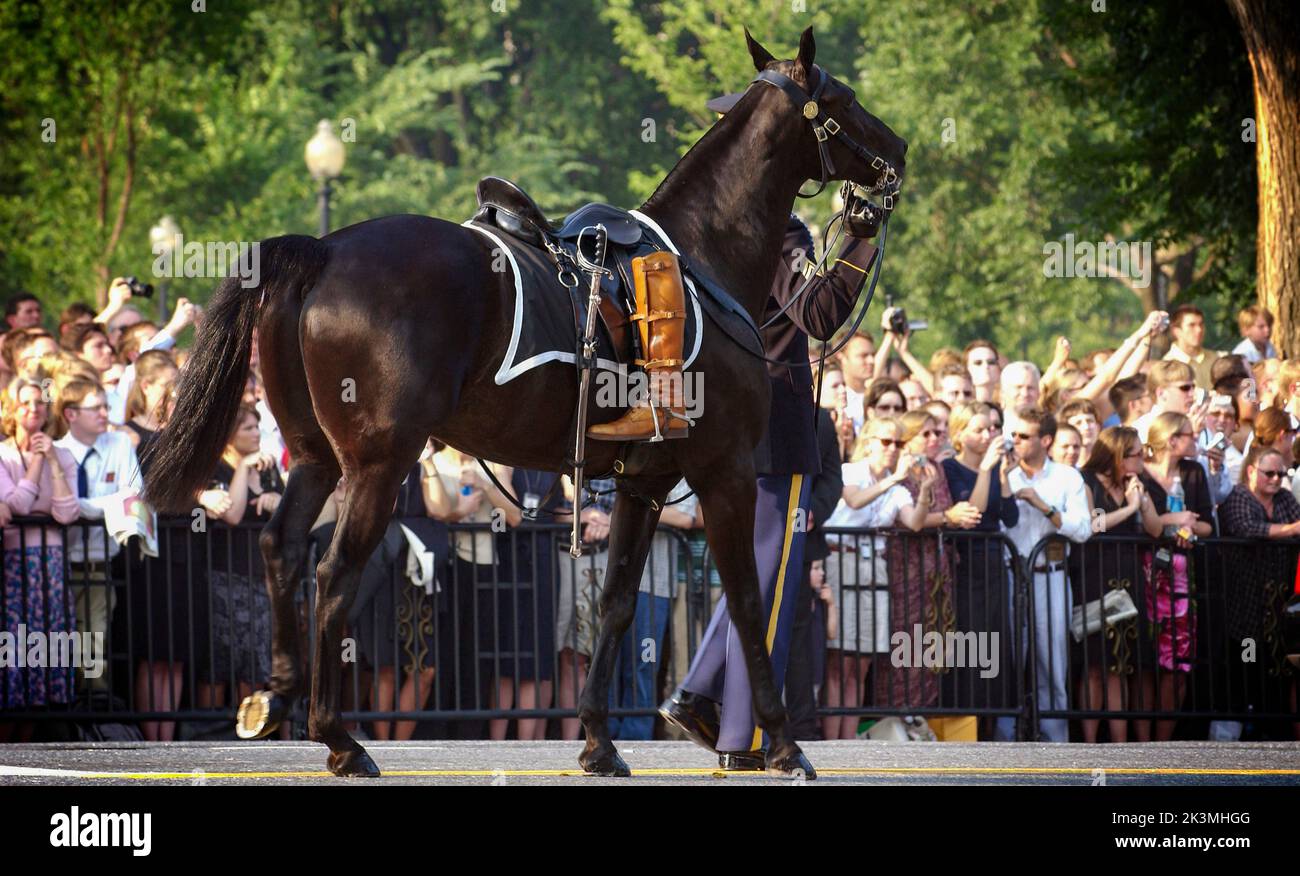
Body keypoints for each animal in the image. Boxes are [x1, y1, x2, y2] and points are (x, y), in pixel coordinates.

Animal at [142, 26, 906, 778]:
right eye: (843, 97)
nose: (897, 152)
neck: (703, 258)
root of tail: (323, 252)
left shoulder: (645, 483)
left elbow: (617, 601)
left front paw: (598, 740)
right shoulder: (726, 471)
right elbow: (748, 601)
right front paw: (783, 743)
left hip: (316, 458)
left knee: (281, 547)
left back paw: (276, 694)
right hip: (380, 464)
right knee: (333, 575)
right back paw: (340, 737)